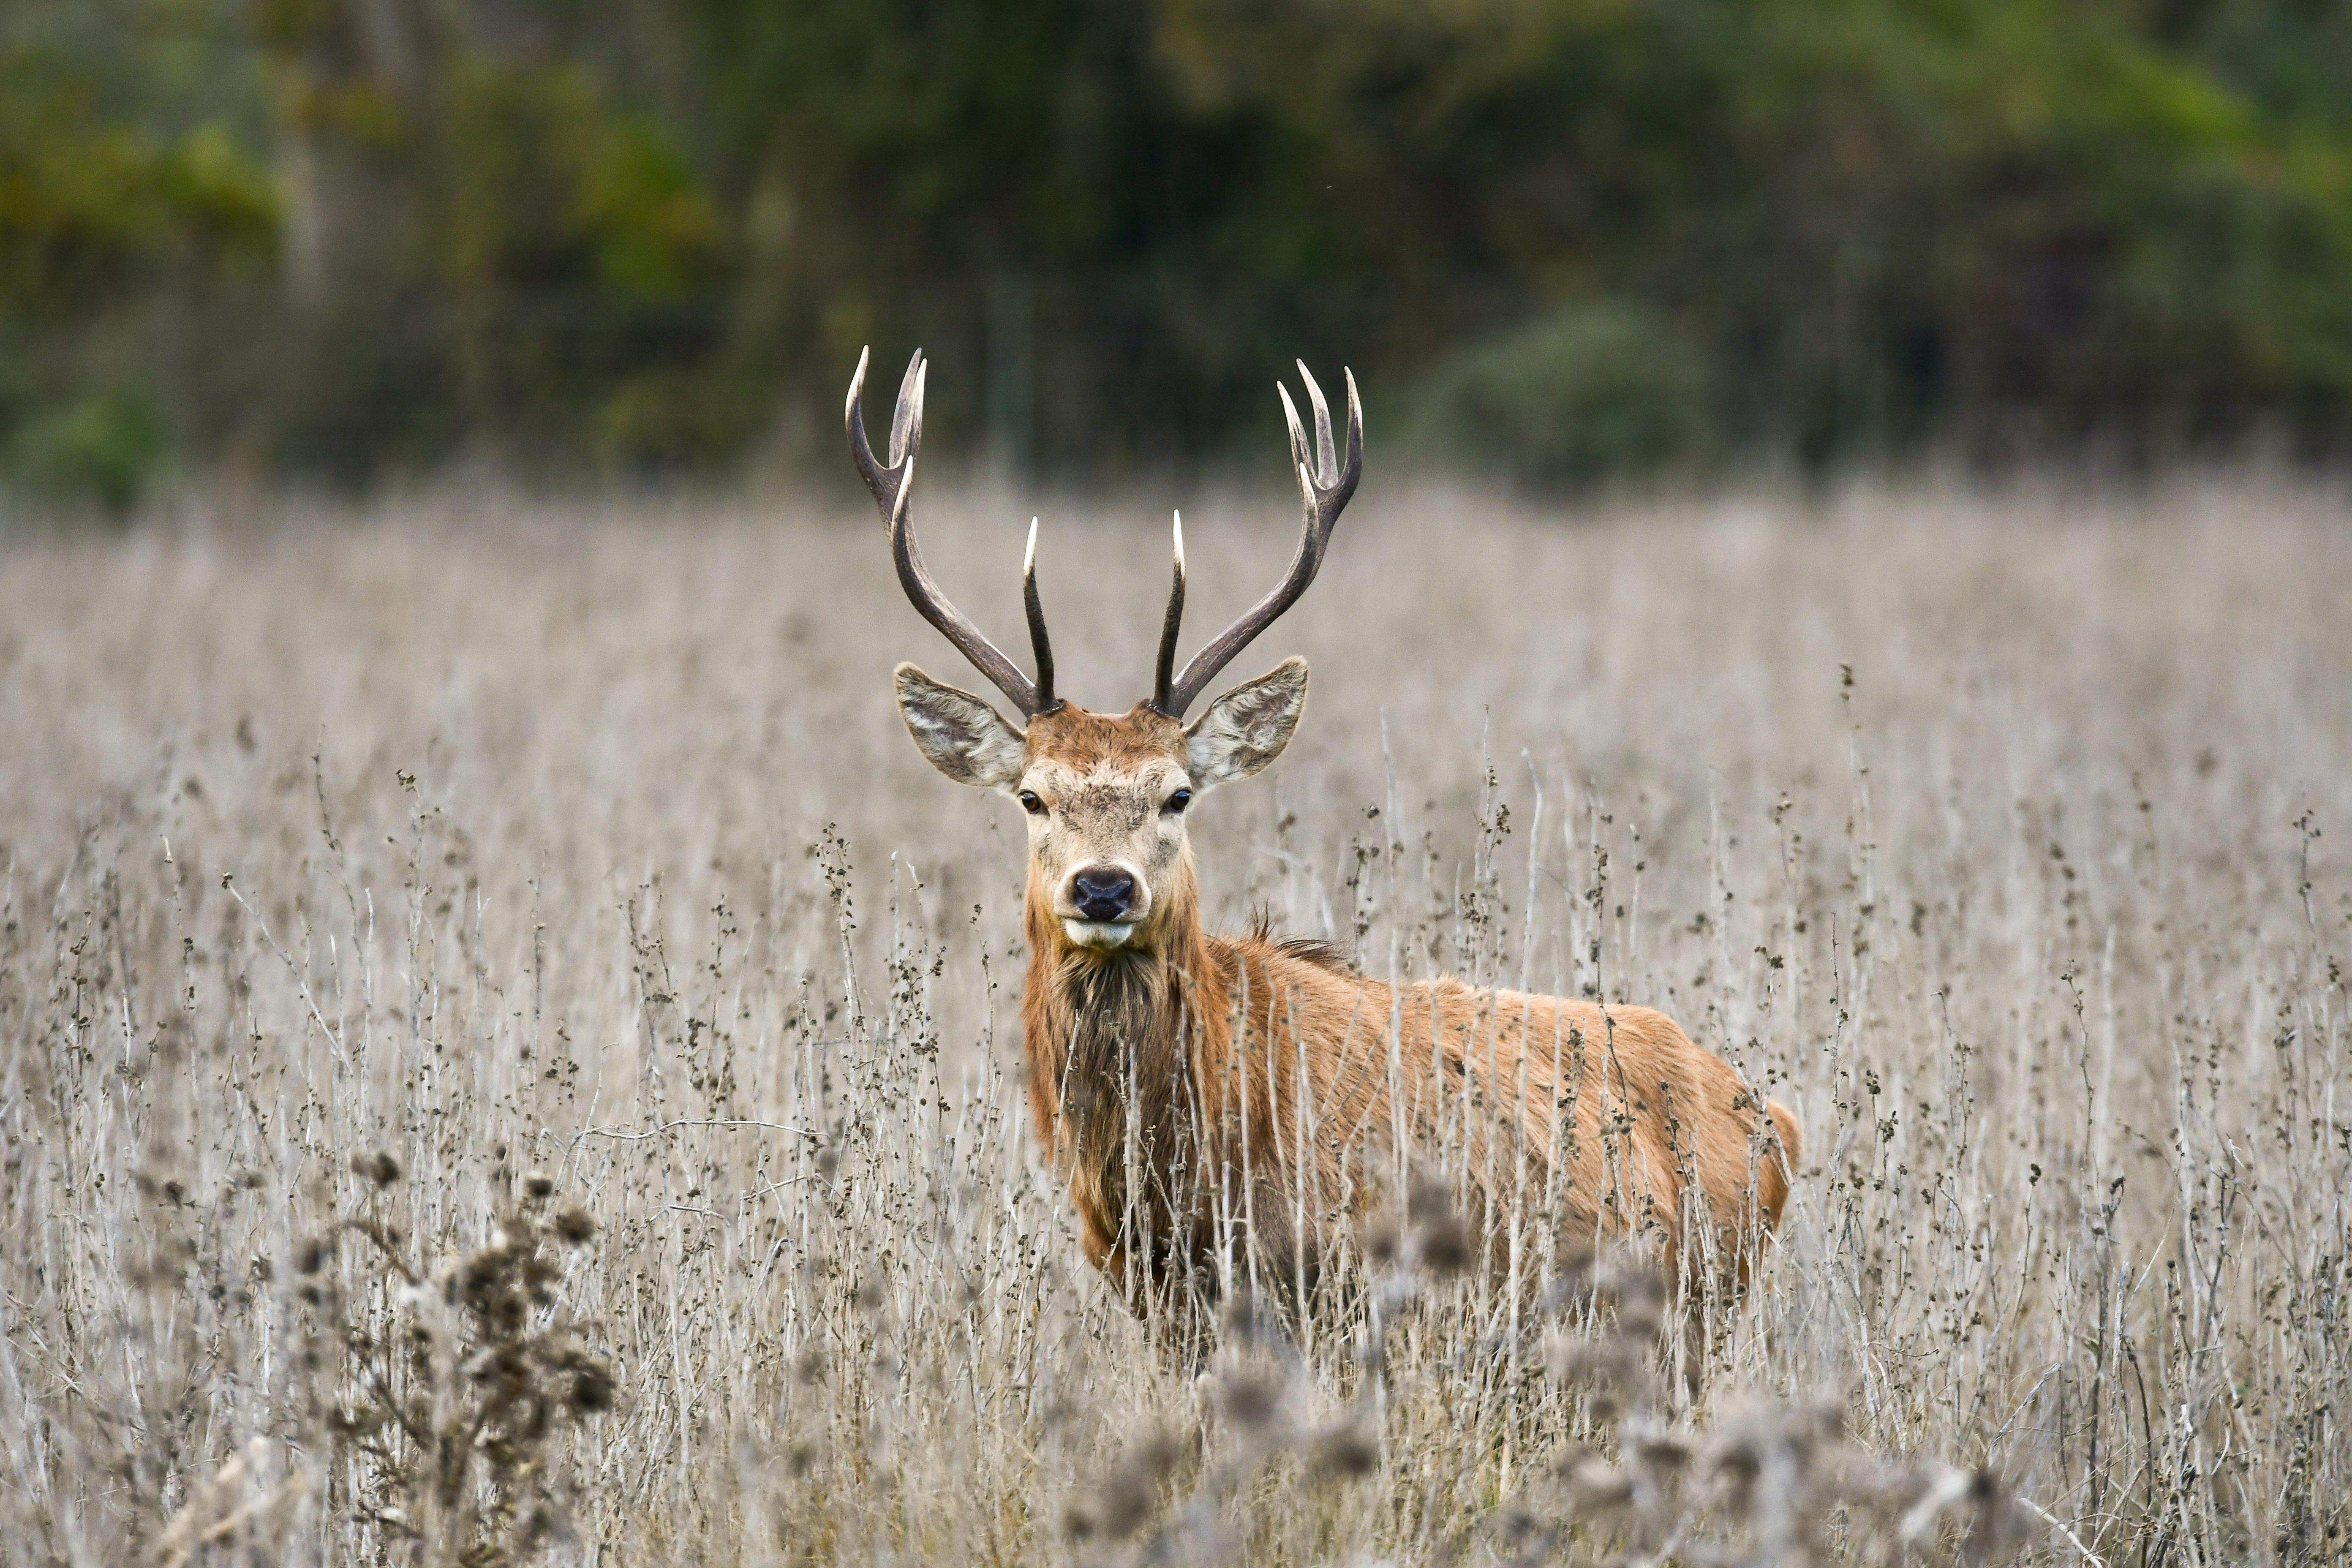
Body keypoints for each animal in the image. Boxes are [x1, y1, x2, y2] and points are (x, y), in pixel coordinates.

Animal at [845, 348, 1800, 1319]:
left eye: (1178, 794)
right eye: (1032, 797)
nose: (1103, 887)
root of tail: (1772, 1116)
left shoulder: (1345, 1278)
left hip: (1702, 1292)